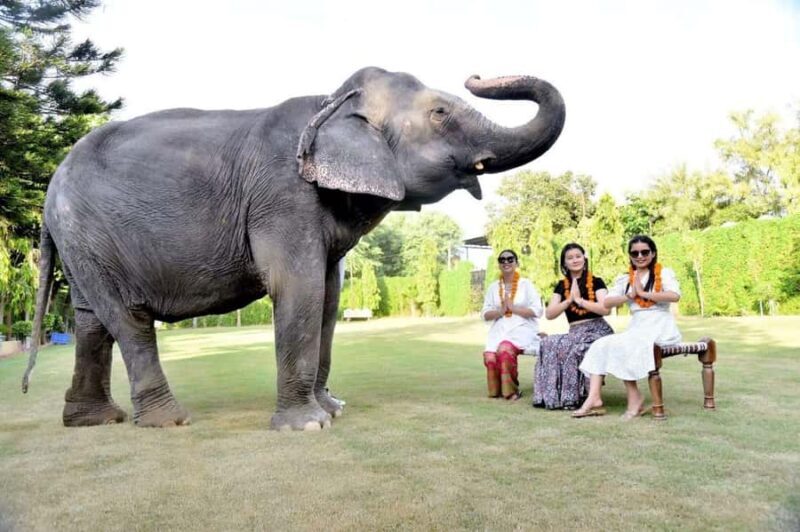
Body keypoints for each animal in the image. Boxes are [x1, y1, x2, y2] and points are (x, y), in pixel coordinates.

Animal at [22, 66, 565, 430]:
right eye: (440, 113)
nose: (477, 75)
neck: (332, 101)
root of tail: (50, 191)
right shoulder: (283, 197)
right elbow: (299, 289)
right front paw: (308, 425)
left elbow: (329, 296)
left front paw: (333, 410)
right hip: (88, 233)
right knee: (126, 319)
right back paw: (168, 421)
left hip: (84, 242)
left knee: (90, 319)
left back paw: (93, 420)